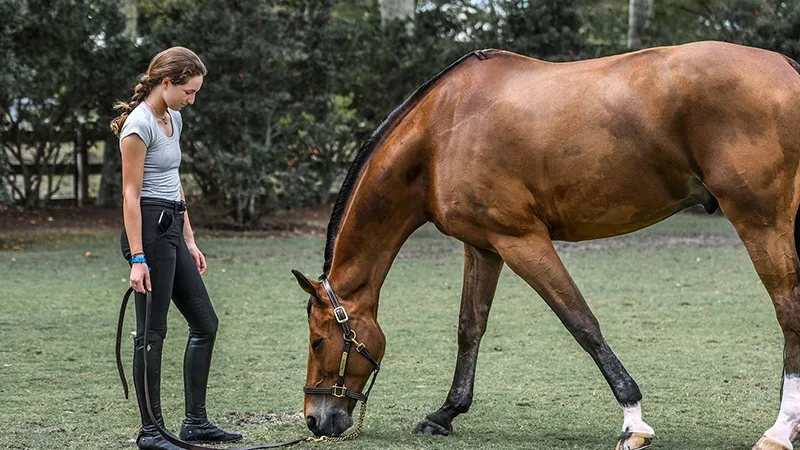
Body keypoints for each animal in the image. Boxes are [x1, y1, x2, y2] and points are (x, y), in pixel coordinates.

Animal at [291, 41, 800, 450]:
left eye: (318, 341)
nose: (316, 420)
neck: (440, 135)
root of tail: (787, 66)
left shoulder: (522, 241)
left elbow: (581, 322)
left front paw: (633, 423)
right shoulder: (483, 247)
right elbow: (470, 327)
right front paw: (445, 414)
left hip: (761, 222)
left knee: (788, 312)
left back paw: (778, 431)